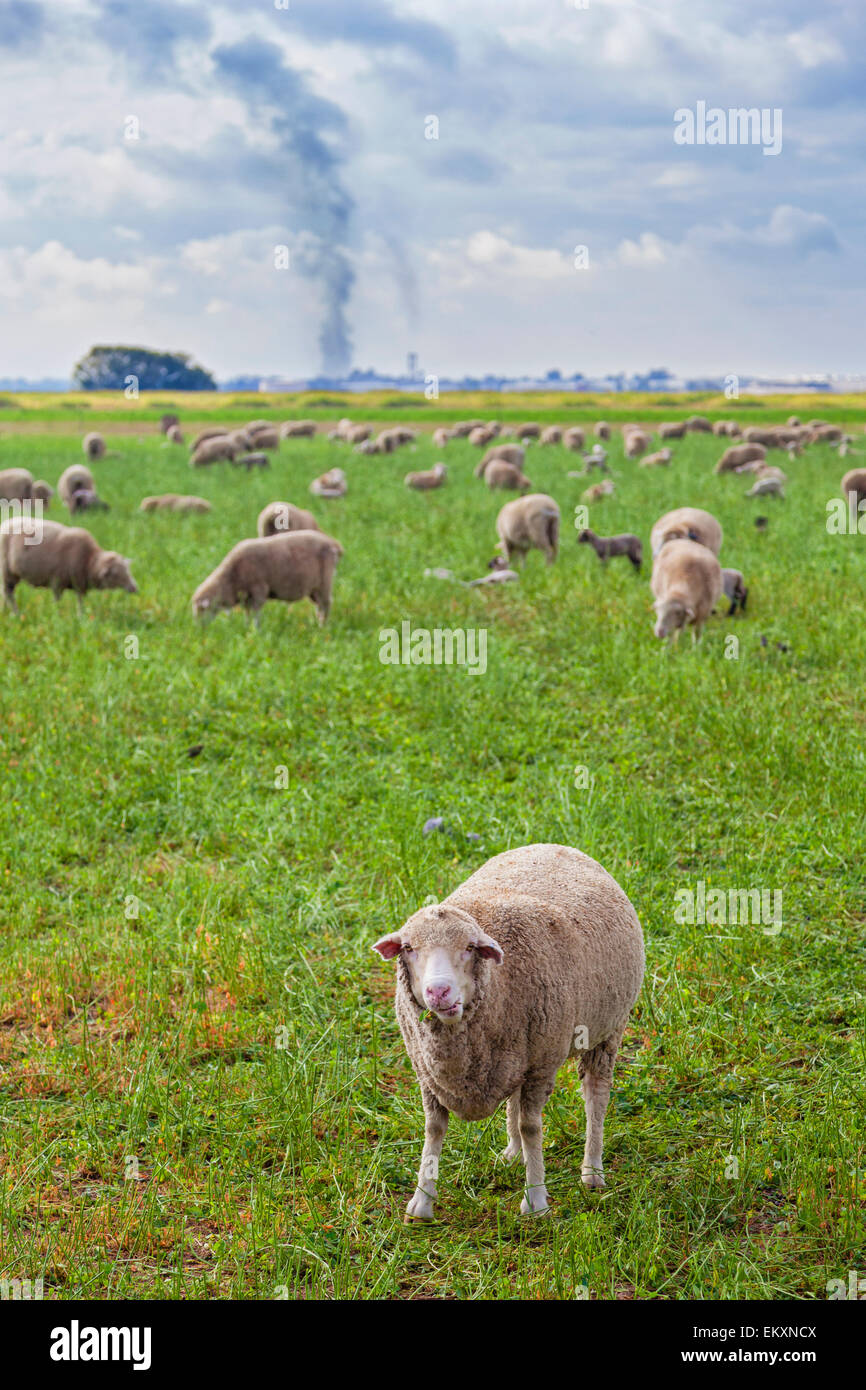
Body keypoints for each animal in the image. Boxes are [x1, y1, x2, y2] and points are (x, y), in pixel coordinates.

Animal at [0, 518, 137, 614]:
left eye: (127, 570)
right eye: (116, 574)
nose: (135, 588)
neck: (89, 561)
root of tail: (4, 524)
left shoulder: (79, 583)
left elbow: (80, 600)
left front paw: (81, 616)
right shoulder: (57, 581)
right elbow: (58, 600)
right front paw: (58, 614)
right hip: (7, 570)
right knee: (8, 592)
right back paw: (15, 613)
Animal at [191, 530, 342, 628]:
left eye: (201, 610)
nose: (200, 630)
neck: (230, 579)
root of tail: (333, 544)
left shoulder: (259, 590)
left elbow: (255, 614)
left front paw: (256, 631)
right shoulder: (247, 597)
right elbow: (248, 614)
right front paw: (247, 628)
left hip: (324, 582)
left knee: (326, 604)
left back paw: (322, 626)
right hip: (314, 589)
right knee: (319, 605)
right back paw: (318, 623)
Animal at [372, 843, 644, 1217]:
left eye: (469, 948)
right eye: (409, 948)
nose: (438, 992)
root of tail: (552, 845)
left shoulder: (542, 1064)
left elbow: (532, 1128)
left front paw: (536, 1199)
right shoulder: (428, 1075)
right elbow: (433, 1129)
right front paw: (422, 1201)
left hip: (606, 1030)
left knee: (596, 1095)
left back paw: (592, 1169)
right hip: (518, 1054)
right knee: (514, 1102)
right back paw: (513, 1153)